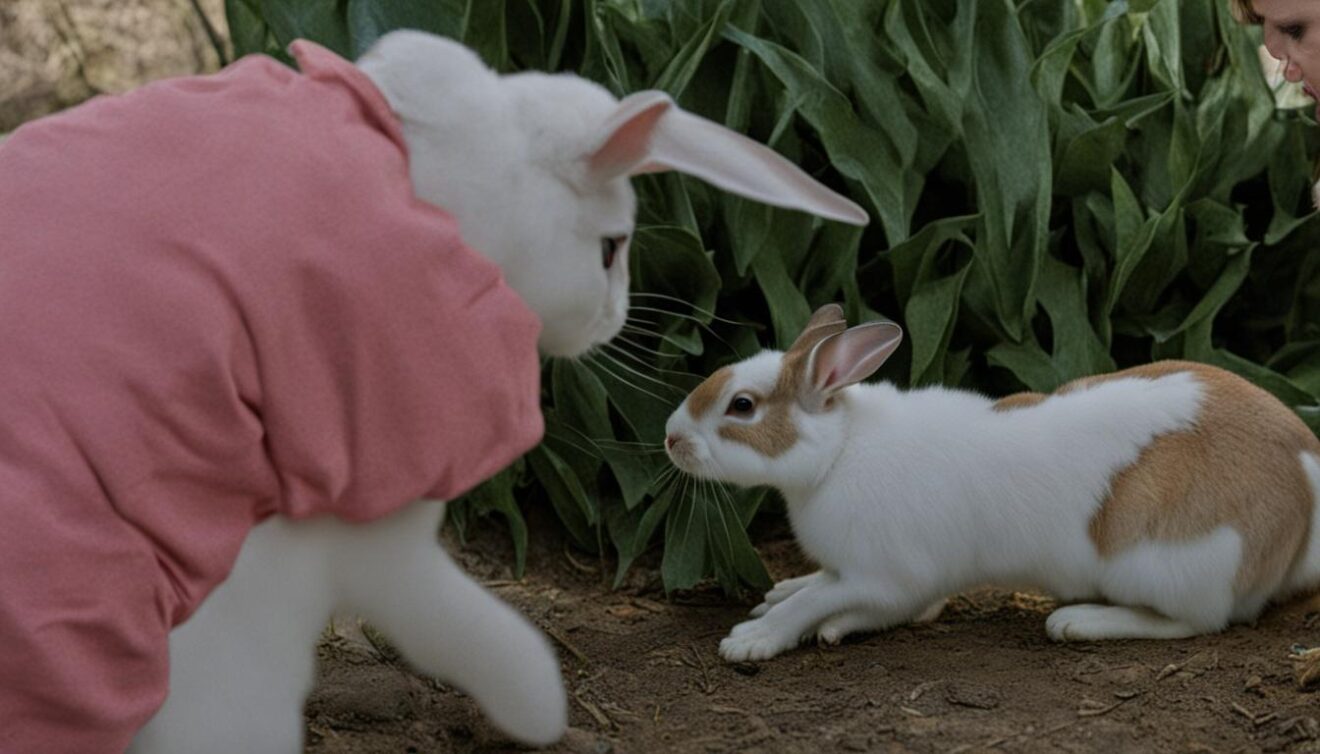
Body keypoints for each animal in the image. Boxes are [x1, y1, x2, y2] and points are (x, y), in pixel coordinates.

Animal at [663, 303, 1320, 662]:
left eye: (742, 405)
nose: (671, 437)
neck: (840, 451)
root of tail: (1300, 480)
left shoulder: (885, 574)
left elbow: (823, 602)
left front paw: (755, 637)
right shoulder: (877, 578)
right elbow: (823, 590)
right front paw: (782, 594)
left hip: (1167, 565)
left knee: (1199, 621)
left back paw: (1079, 622)